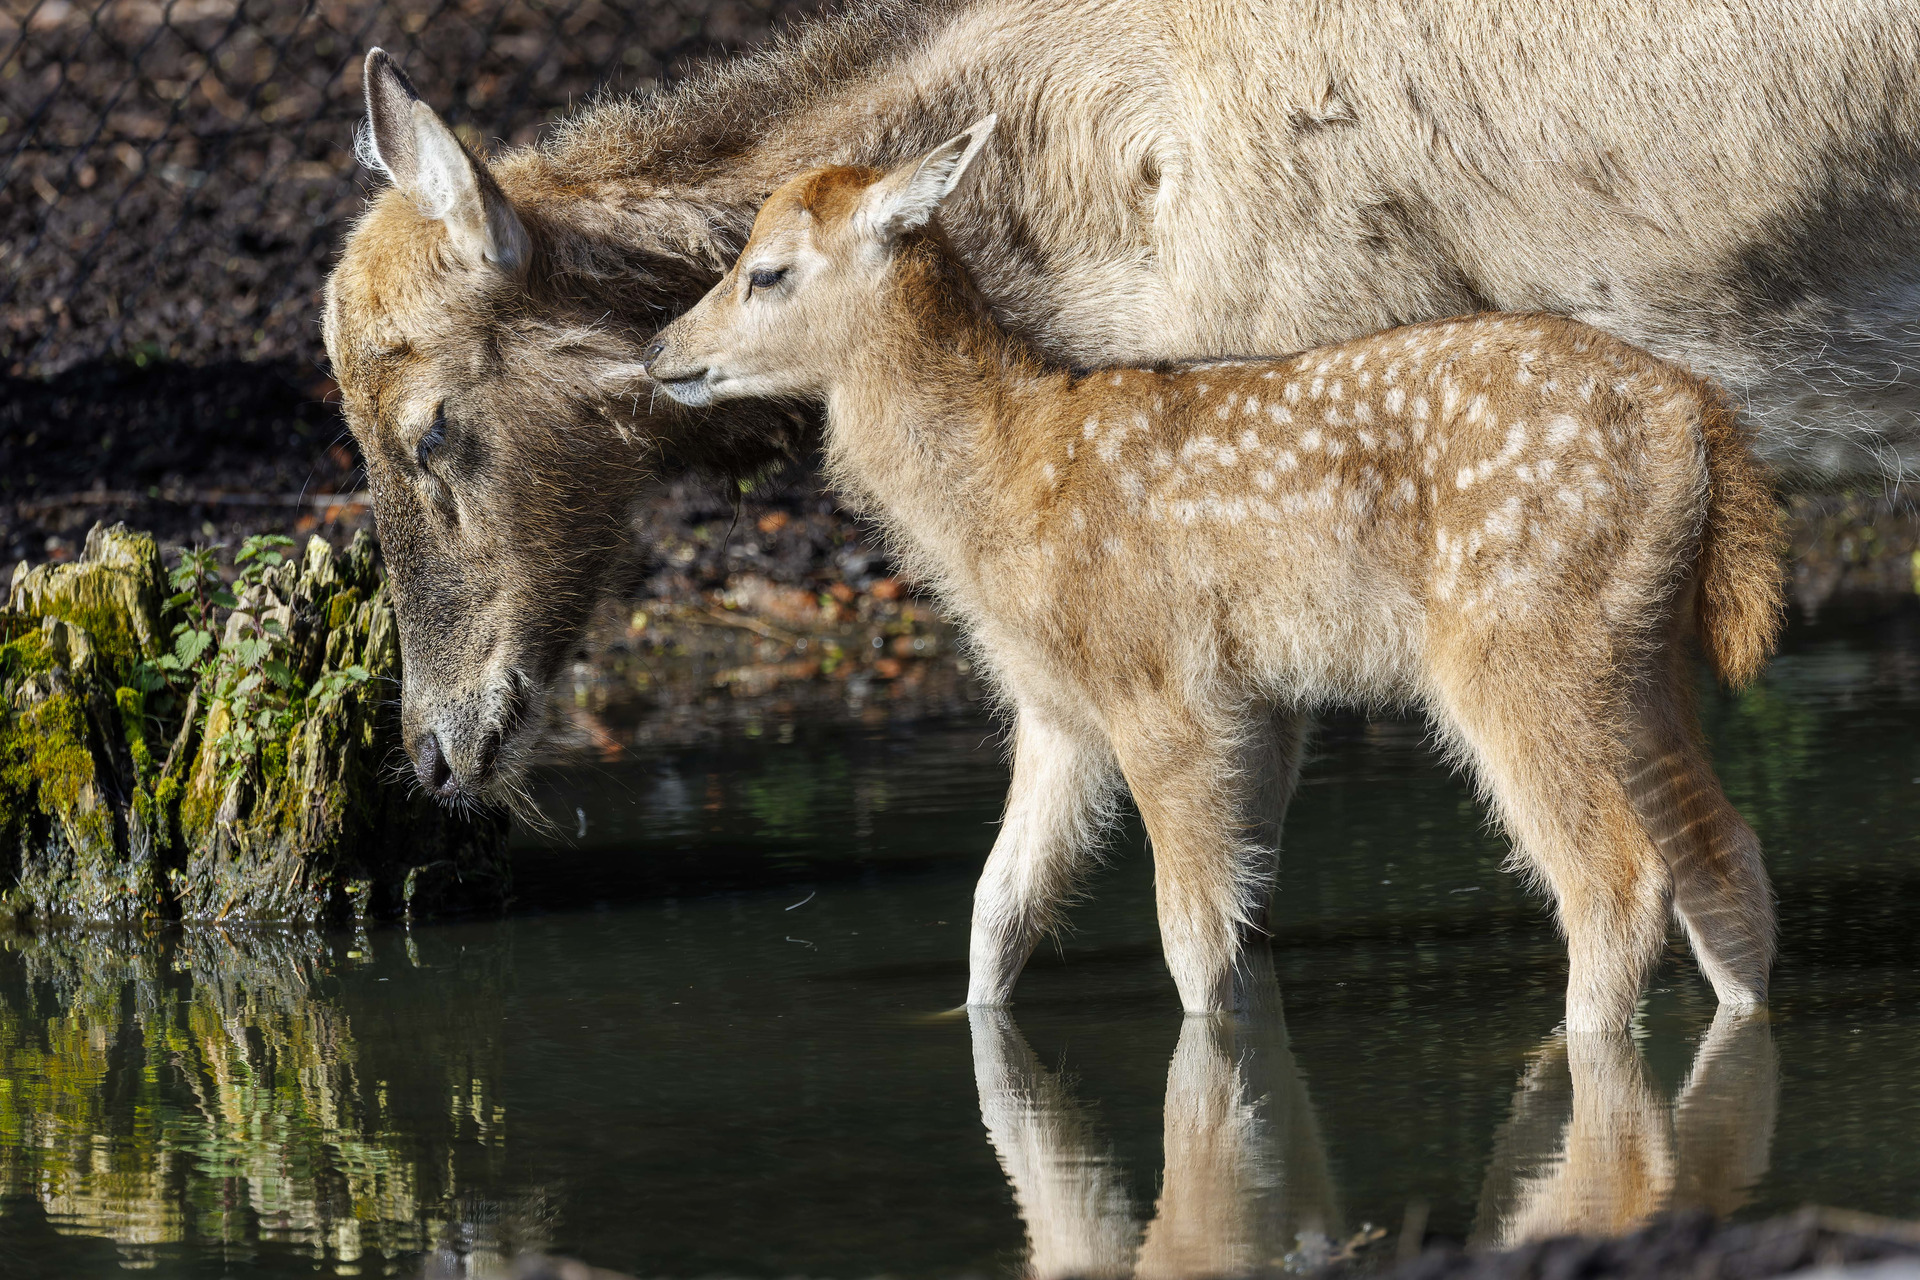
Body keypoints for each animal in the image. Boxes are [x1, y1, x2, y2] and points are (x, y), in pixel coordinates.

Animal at [639, 118, 1786, 1031]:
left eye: (768, 270)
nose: (659, 351)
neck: (1002, 482)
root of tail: (1698, 418)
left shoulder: (1162, 689)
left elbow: (1190, 934)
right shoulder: (1086, 708)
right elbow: (1005, 908)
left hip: (1520, 641)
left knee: (1615, 880)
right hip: (1640, 650)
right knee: (1724, 855)